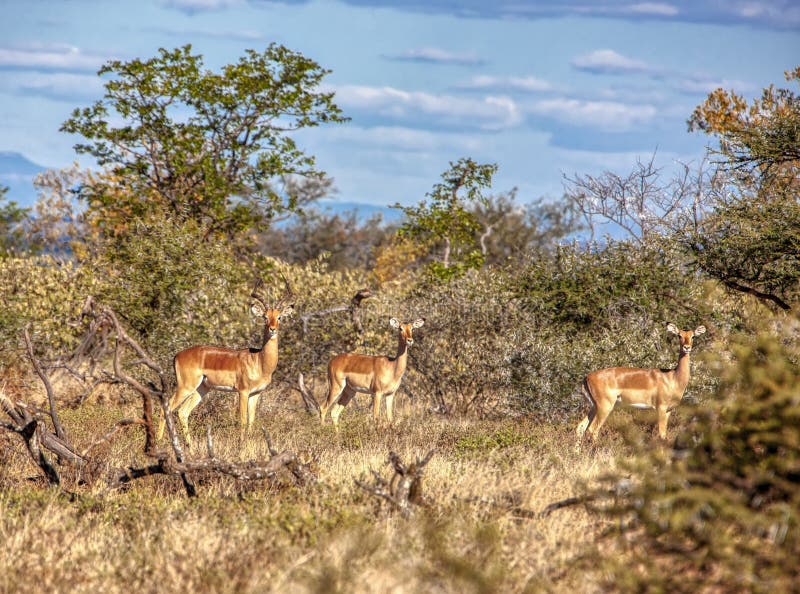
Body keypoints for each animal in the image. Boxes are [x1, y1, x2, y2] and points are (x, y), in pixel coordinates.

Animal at [157, 278, 295, 445]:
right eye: (265, 317)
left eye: (279, 317)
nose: (272, 329)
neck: (259, 361)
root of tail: (177, 355)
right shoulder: (243, 392)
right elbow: (243, 420)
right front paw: (241, 447)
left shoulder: (256, 394)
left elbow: (251, 421)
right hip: (186, 386)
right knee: (166, 407)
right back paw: (159, 443)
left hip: (202, 388)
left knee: (183, 412)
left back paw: (190, 446)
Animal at [576, 323, 706, 441]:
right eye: (679, 335)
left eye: (693, 336)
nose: (686, 347)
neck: (673, 378)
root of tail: (587, 377)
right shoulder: (661, 408)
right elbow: (662, 435)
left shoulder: (669, 410)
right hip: (605, 406)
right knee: (592, 430)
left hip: (594, 406)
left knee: (580, 428)